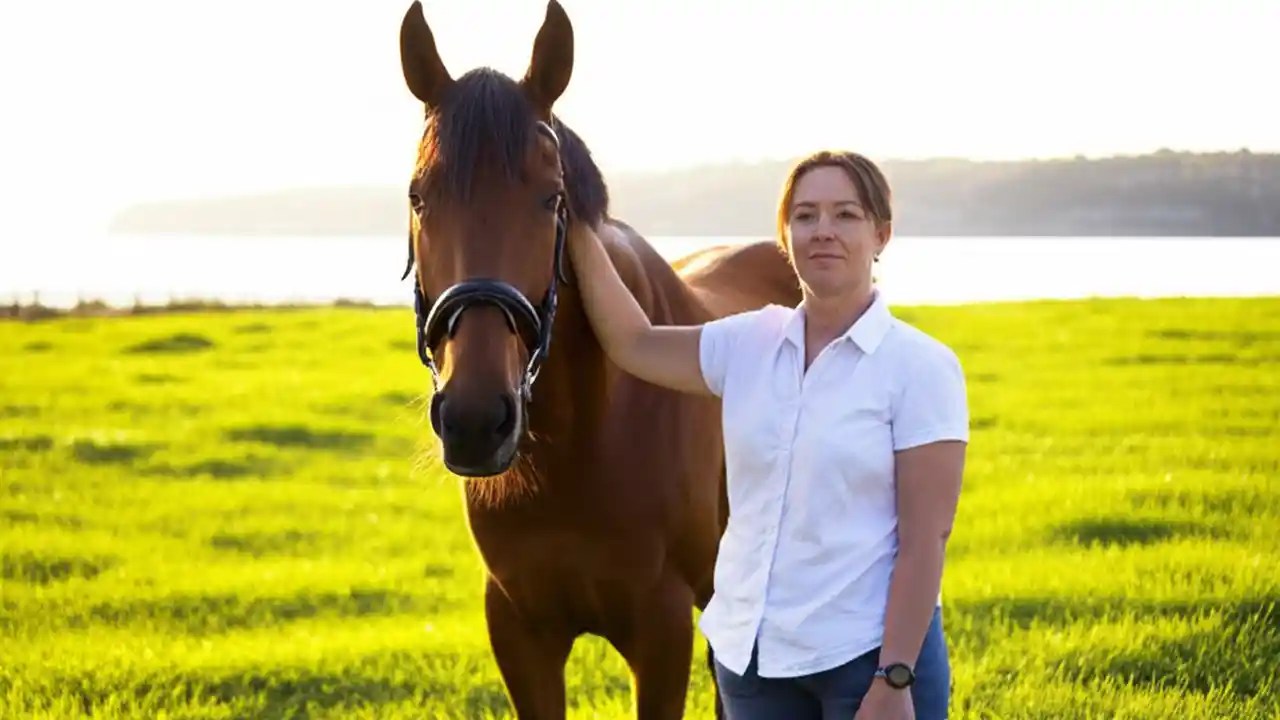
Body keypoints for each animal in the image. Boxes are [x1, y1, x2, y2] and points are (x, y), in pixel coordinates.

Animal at [397, 1, 802, 717]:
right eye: (420, 195)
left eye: (551, 198)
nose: (475, 420)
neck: (582, 446)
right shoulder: (520, 629)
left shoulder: (661, 627)